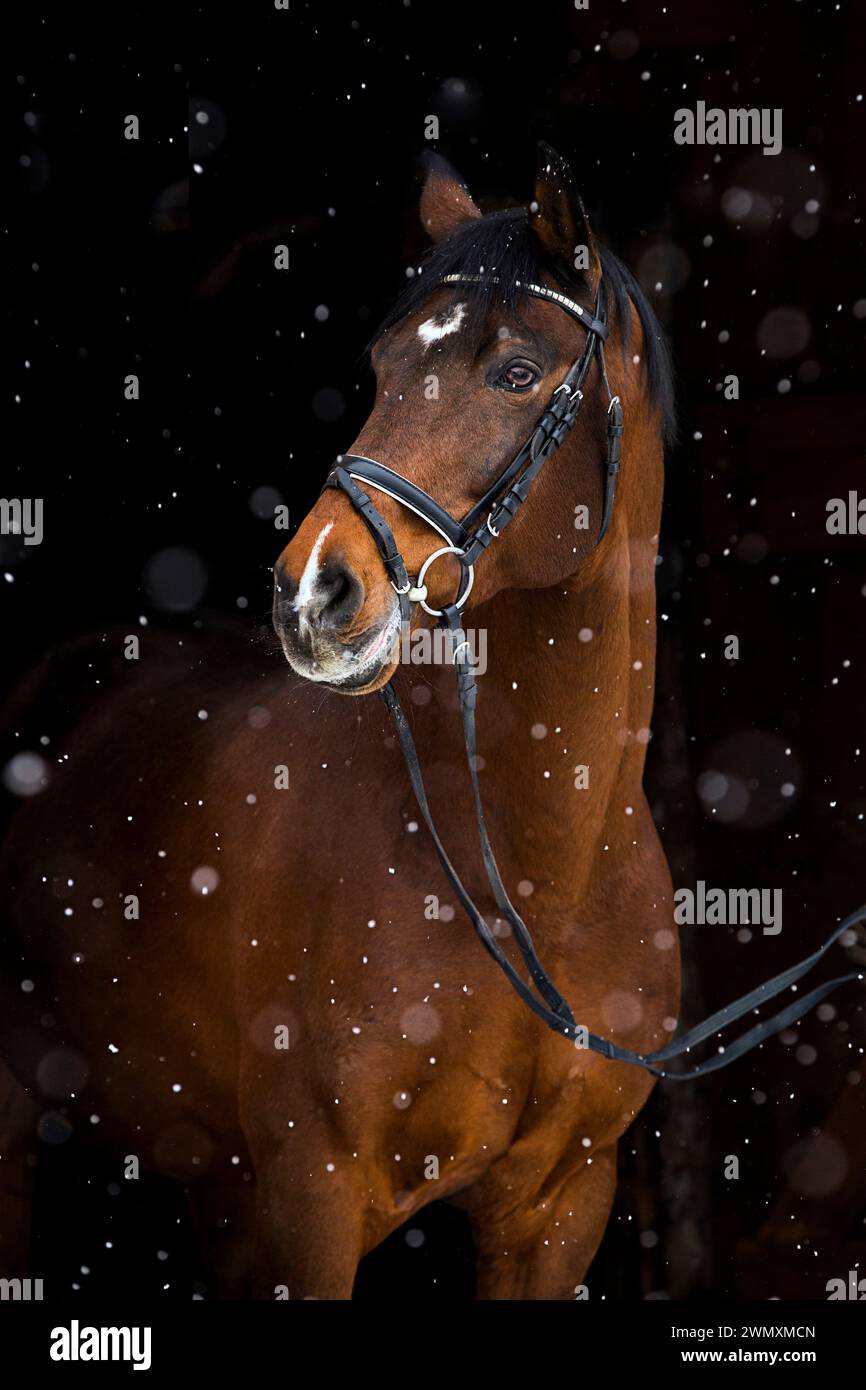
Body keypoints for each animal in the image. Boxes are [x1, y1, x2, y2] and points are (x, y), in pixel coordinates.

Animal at [0, 145, 677, 1299]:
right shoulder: (314, 1195)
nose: (313, 589)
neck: (534, 875)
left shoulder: (559, 1205)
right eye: (383, 367)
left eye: (515, 372)